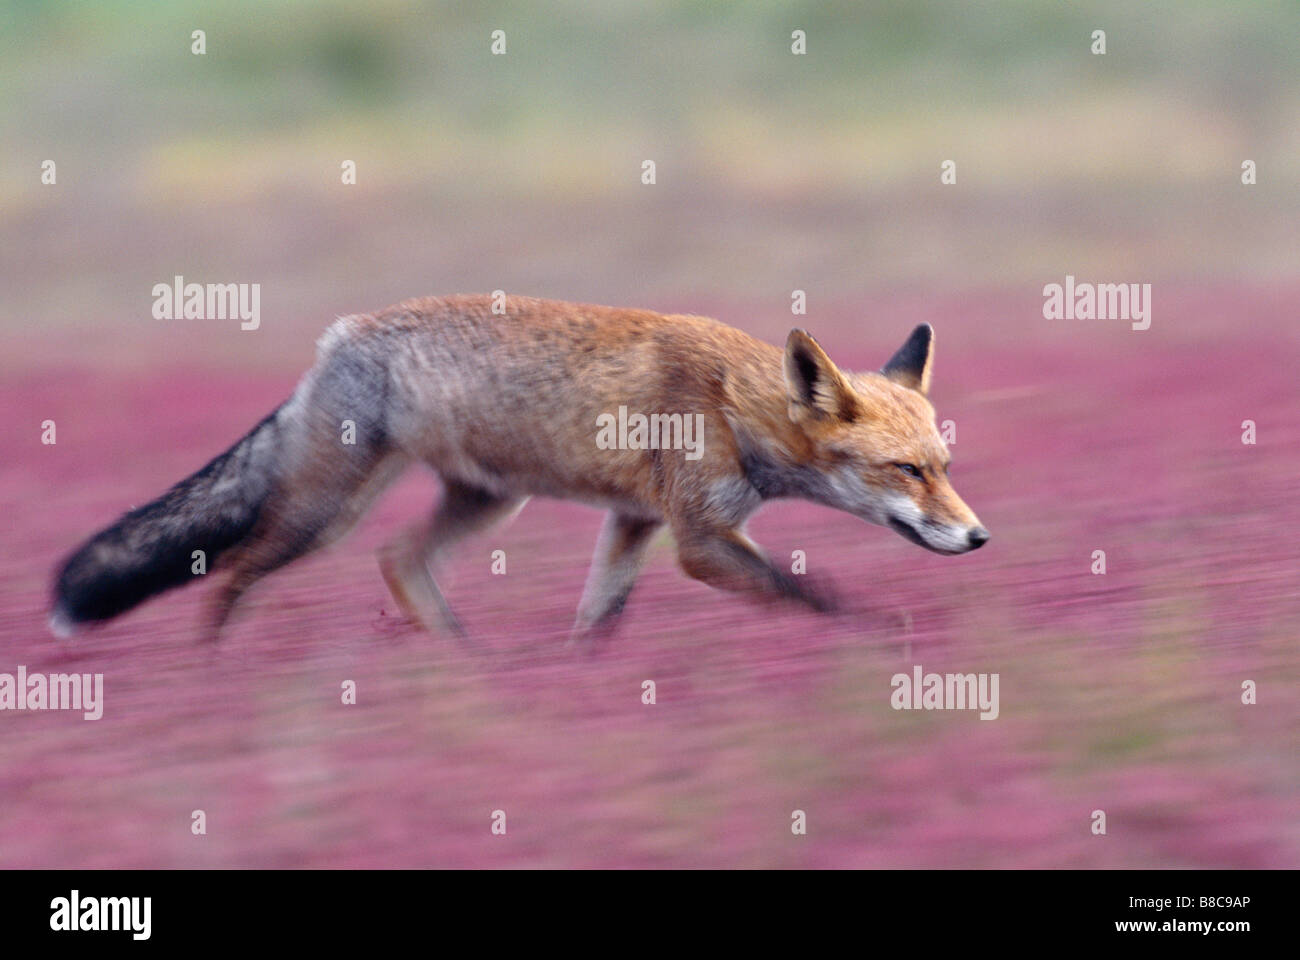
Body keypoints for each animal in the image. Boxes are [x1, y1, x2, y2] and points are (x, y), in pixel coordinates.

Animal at [50, 295, 988, 644]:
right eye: (906, 472)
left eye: (943, 466)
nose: (979, 537)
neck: (732, 404)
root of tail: (334, 338)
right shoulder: (697, 538)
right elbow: (812, 594)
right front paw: (879, 637)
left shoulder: (636, 522)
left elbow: (598, 619)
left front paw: (576, 683)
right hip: (324, 513)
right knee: (233, 572)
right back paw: (215, 676)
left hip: (486, 505)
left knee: (400, 560)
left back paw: (461, 657)